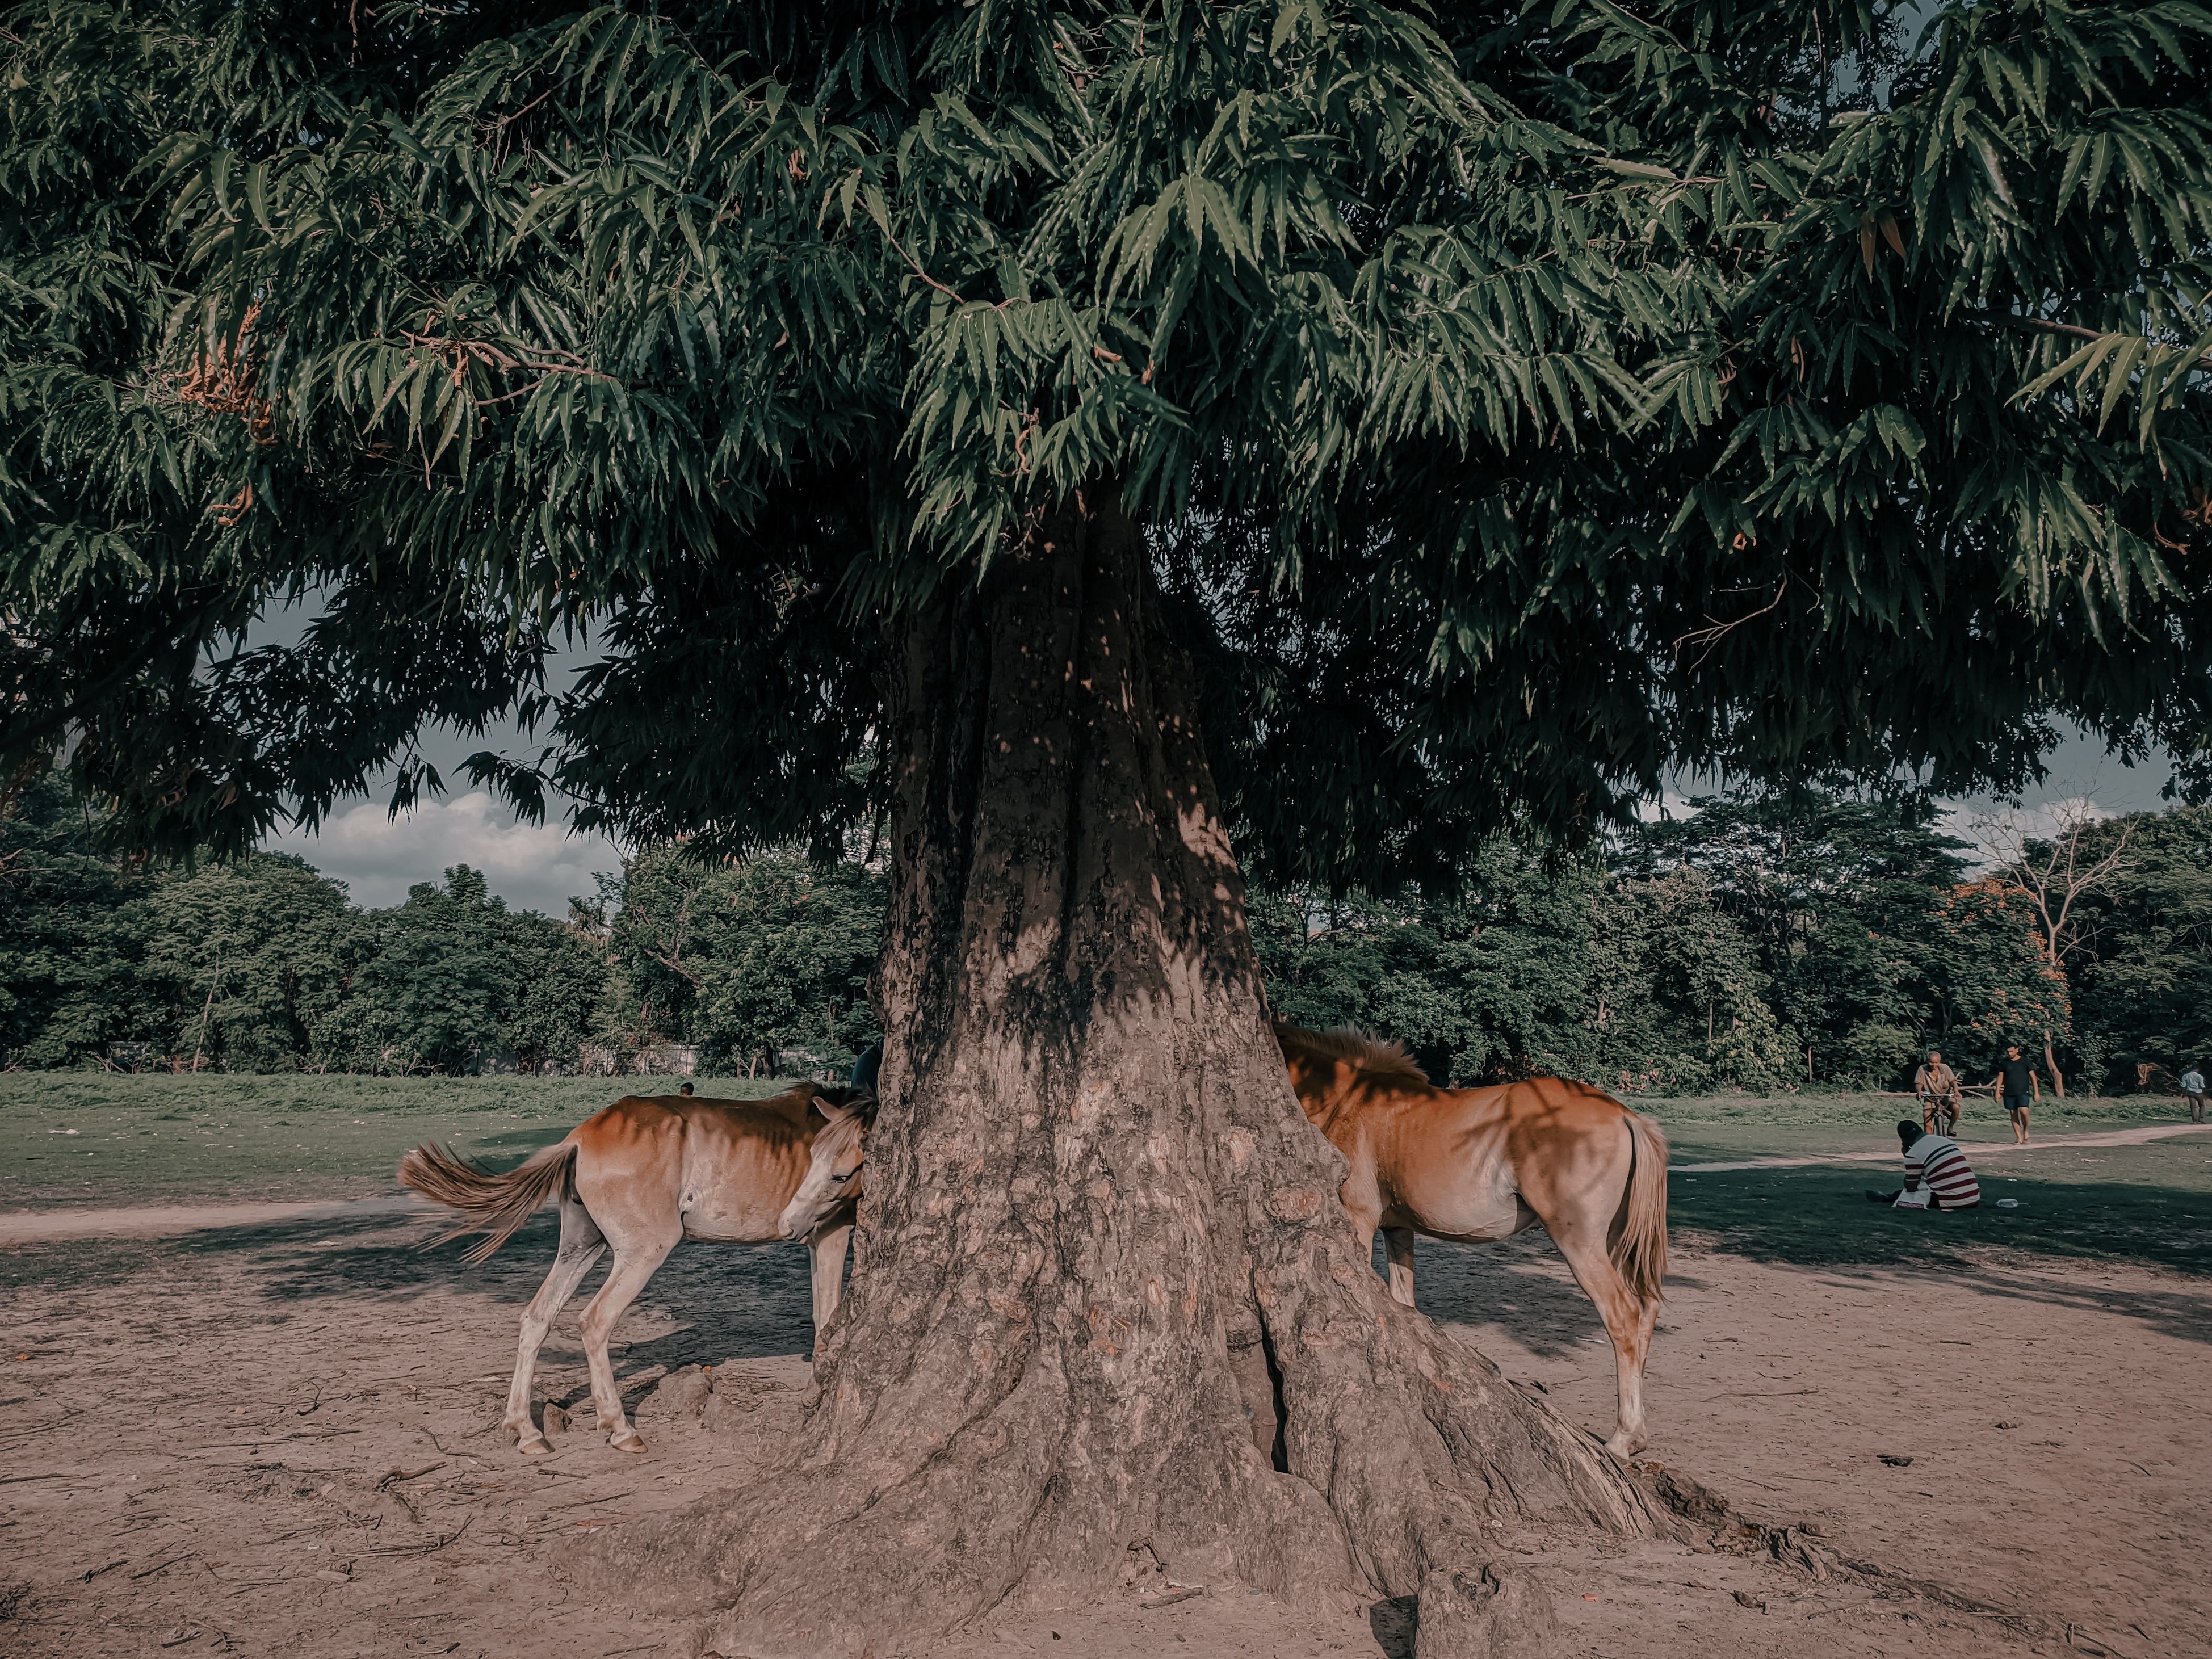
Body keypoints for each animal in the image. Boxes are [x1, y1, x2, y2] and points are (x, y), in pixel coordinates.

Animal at [398, 1082, 866, 1456]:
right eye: (836, 1173)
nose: (790, 1222)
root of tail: (581, 1137)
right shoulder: (831, 1234)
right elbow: (826, 1315)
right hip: (643, 1253)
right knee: (594, 1321)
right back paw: (619, 1427)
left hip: (581, 1247)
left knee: (537, 1318)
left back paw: (525, 1429)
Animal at [1275, 1023, 1670, 1458]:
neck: (1347, 1099)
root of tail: (1624, 1115)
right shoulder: (1398, 1230)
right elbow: (1401, 1303)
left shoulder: (1358, 1218)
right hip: (1615, 1246)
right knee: (1647, 1310)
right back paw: (1638, 1434)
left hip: (1580, 1245)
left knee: (1623, 1317)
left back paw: (1622, 1438)